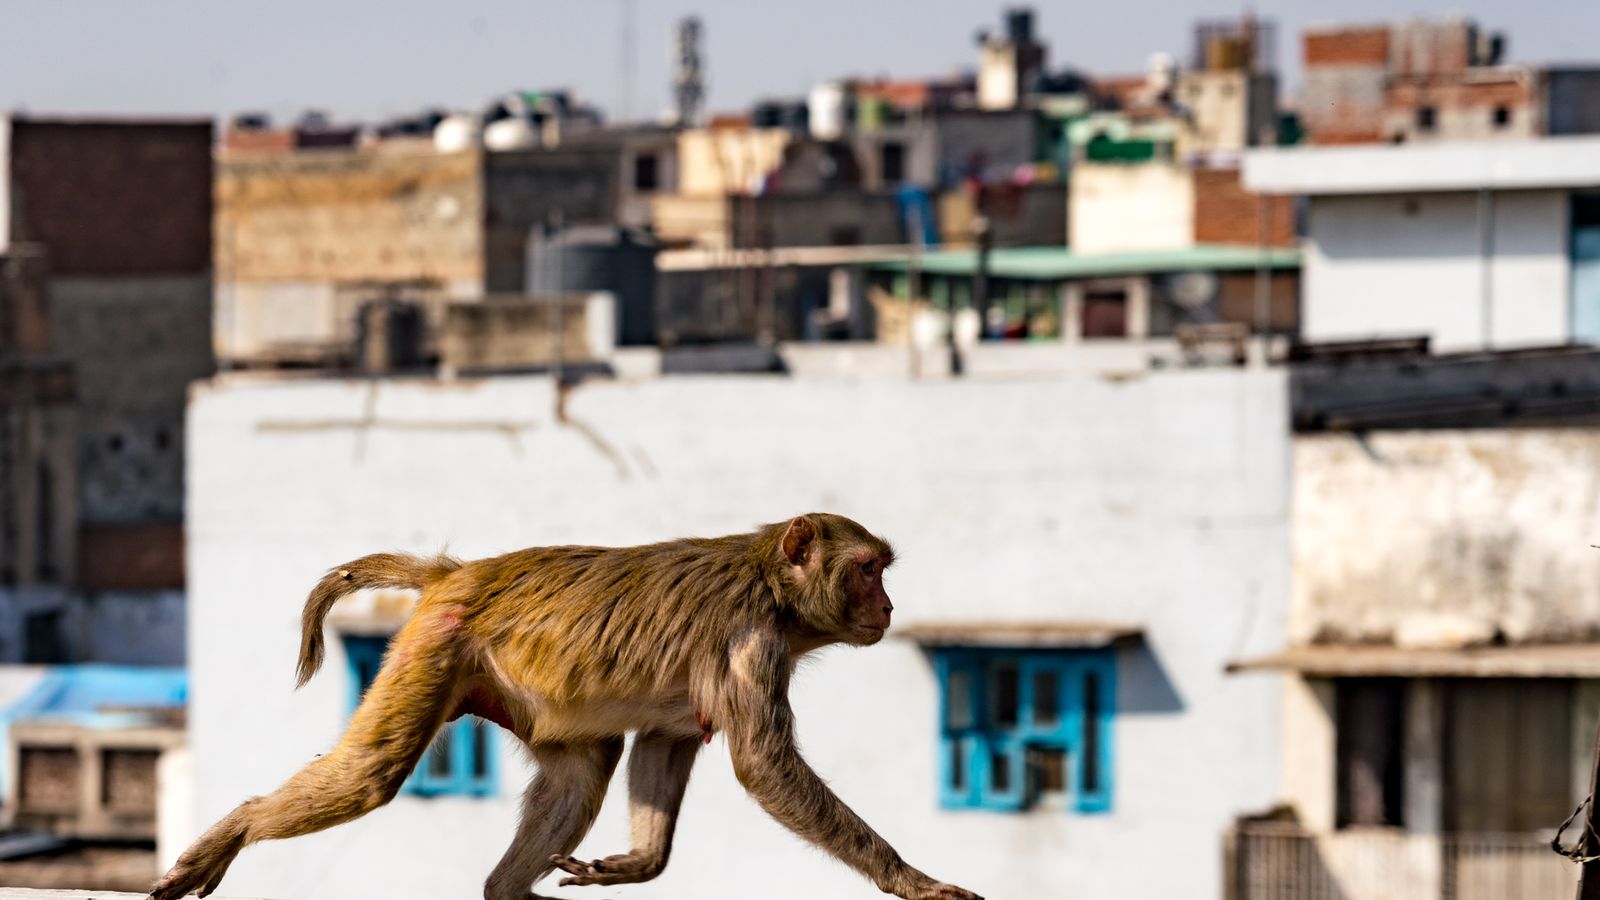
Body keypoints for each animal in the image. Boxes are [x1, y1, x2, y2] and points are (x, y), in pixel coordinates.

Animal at [150, 514, 983, 900]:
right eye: (869, 570)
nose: (888, 605)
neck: (772, 591)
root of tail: (457, 572)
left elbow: (664, 741)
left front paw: (639, 862)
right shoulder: (750, 642)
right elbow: (763, 764)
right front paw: (909, 878)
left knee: (585, 765)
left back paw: (503, 889)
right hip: (439, 643)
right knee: (371, 772)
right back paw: (238, 827)